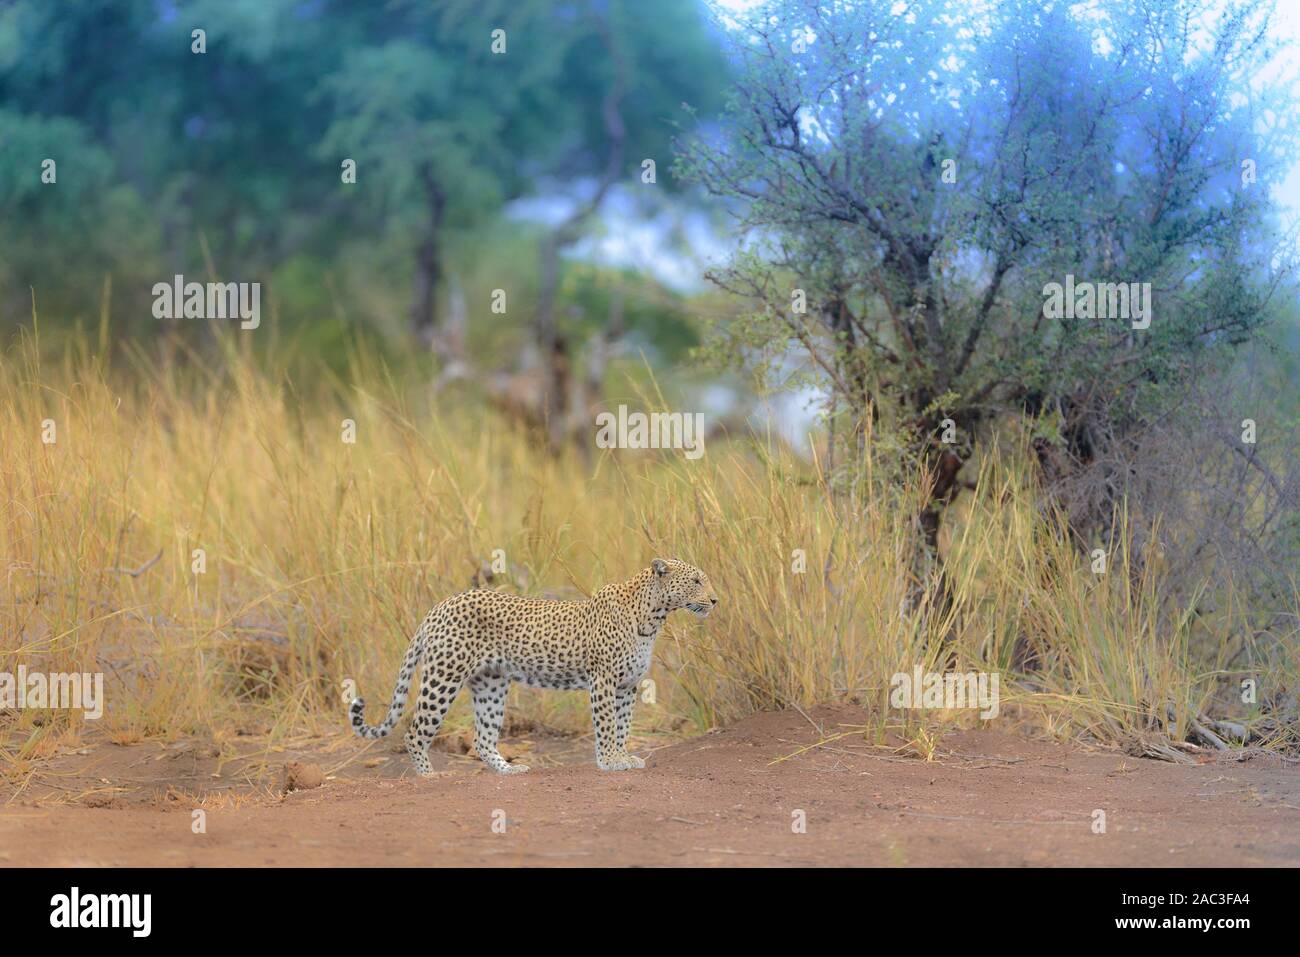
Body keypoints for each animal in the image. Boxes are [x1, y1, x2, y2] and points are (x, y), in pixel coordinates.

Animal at [349, 558, 718, 775]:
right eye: (697, 581)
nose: (715, 600)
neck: (654, 616)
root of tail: (439, 606)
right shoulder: (603, 679)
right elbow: (607, 725)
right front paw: (610, 761)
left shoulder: (626, 685)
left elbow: (623, 725)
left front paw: (624, 757)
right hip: (443, 676)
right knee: (415, 732)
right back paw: (429, 776)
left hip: (491, 684)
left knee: (482, 739)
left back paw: (509, 770)